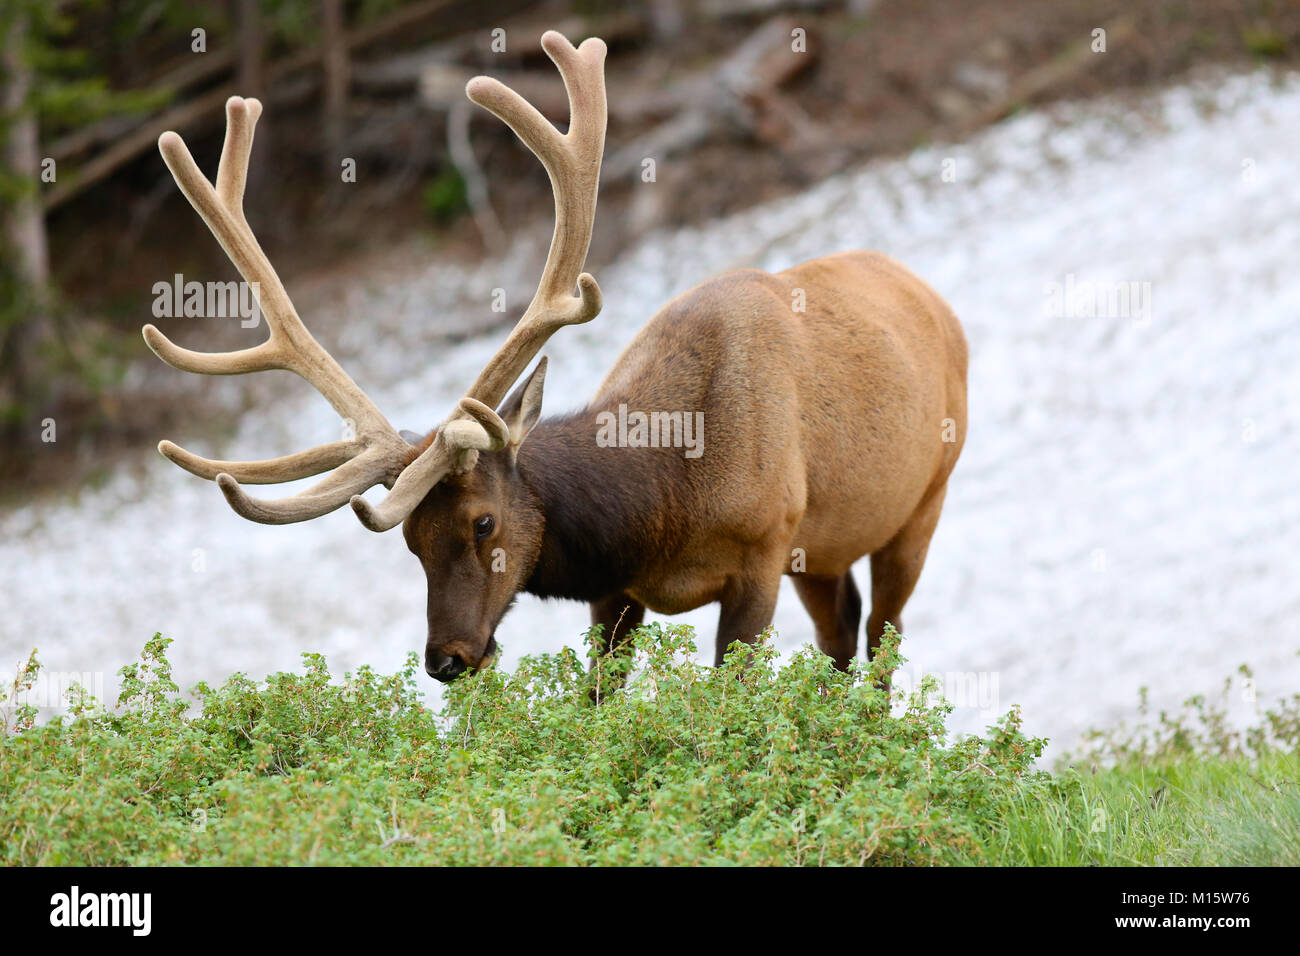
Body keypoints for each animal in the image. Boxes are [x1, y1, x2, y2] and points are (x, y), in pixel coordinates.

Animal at [142, 31, 967, 685]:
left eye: (483, 522)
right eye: (410, 542)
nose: (446, 659)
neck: (668, 501)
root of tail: (930, 294)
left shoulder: (764, 550)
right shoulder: (618, 593)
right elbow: (596, 701)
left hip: (922, 501)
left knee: (882, 637)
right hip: (825, 548)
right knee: (841, 631)